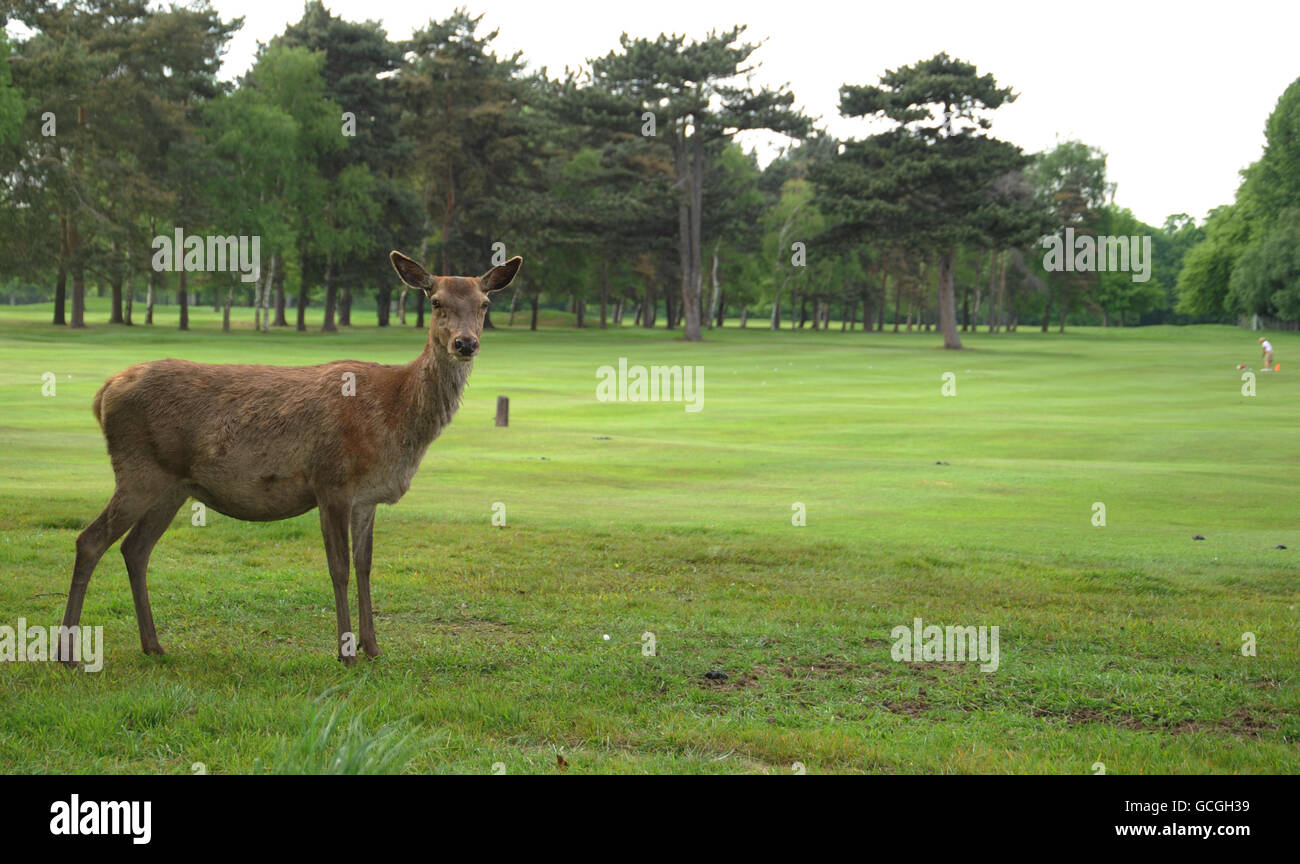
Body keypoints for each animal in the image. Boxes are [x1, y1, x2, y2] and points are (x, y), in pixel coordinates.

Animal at [56, 251, 522, 667]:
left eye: (484, 304)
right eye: (436, 301)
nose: (466, 343)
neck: (395, 419)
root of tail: (103, 393)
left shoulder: (367, 497)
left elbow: (366, 566)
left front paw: (374, 647)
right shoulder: (331, 482)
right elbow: (339, 568)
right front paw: (346, 653)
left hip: (173, 486)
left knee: (135, 549)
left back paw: (153, 645)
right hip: (138, 470)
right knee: (90, 540)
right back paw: (68, 655)